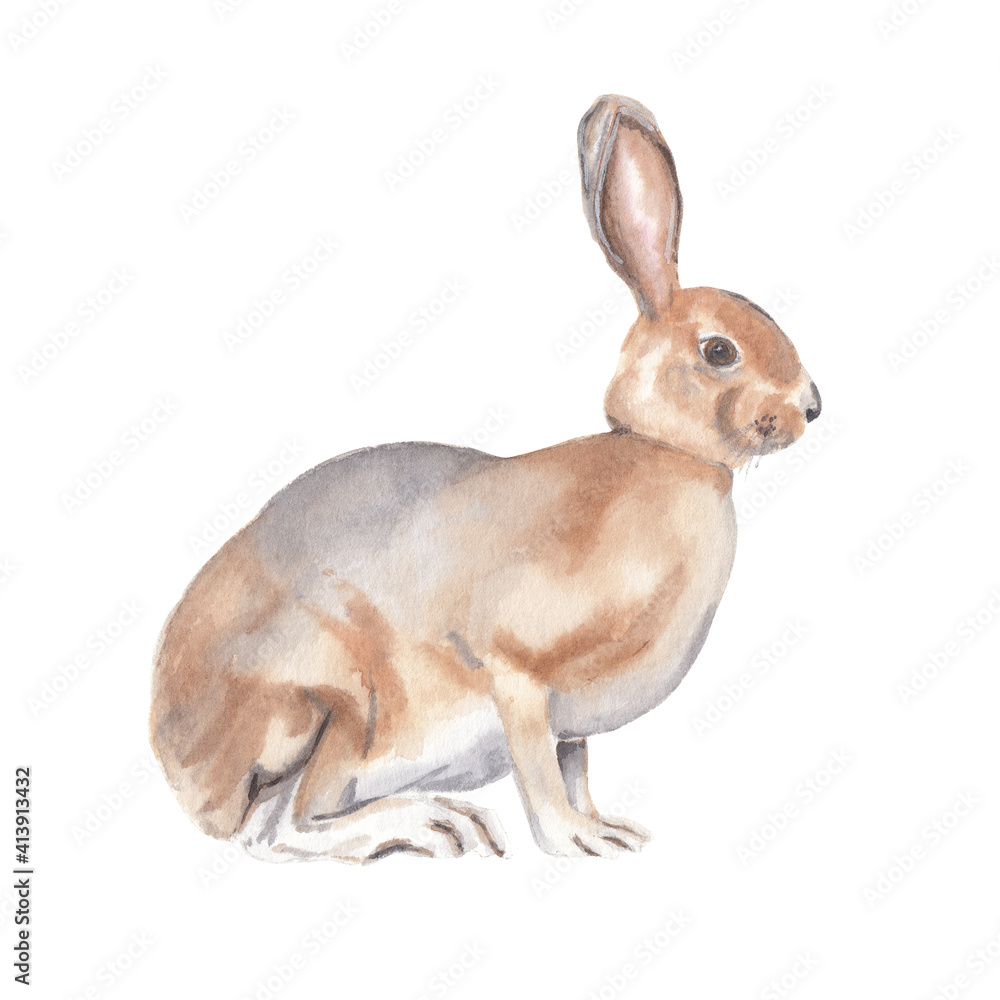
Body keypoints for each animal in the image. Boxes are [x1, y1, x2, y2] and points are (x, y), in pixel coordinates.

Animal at [149, 94, 821, 863]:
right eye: (718, 351)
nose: (812, 406)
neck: (668, 456)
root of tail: (180, 769)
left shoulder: (572, 725)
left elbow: (575, 769)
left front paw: (609, 829)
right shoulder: (517, 675)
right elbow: (541, 779)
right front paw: (576, 844)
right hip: (335, 704)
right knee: (289, 824)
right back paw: (432, 824)